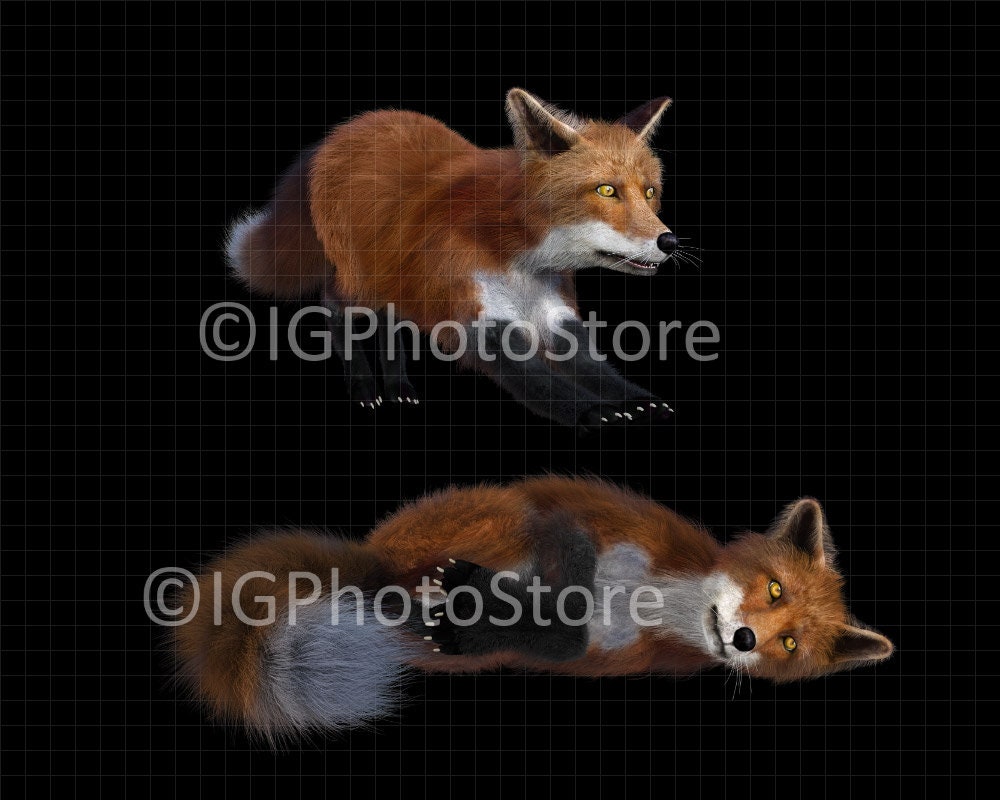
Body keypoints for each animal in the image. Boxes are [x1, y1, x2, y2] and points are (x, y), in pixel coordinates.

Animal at [171, 476, 894, 739]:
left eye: (791, 645)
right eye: (774, 590)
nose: (743, 639)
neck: (654, 600)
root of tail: (375, 555)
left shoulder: (607, 654)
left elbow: (563, 638)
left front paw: (490, 611)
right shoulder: (573, 523)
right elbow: (565, 564)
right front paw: (498, 597)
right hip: (502, 514)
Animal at [225, 89, 684, 431]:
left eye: (649, 192)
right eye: (606, 190)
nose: (670, 241)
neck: (517, 264)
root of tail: (348, 127)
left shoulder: (554, 314)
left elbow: (595, 370)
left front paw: (636, 400)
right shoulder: (478, 316)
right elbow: (541, 385)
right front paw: (592, 412)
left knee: (388, 322)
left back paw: (397, 385)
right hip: (361, 279)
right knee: (332, 306)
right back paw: (363, 386)